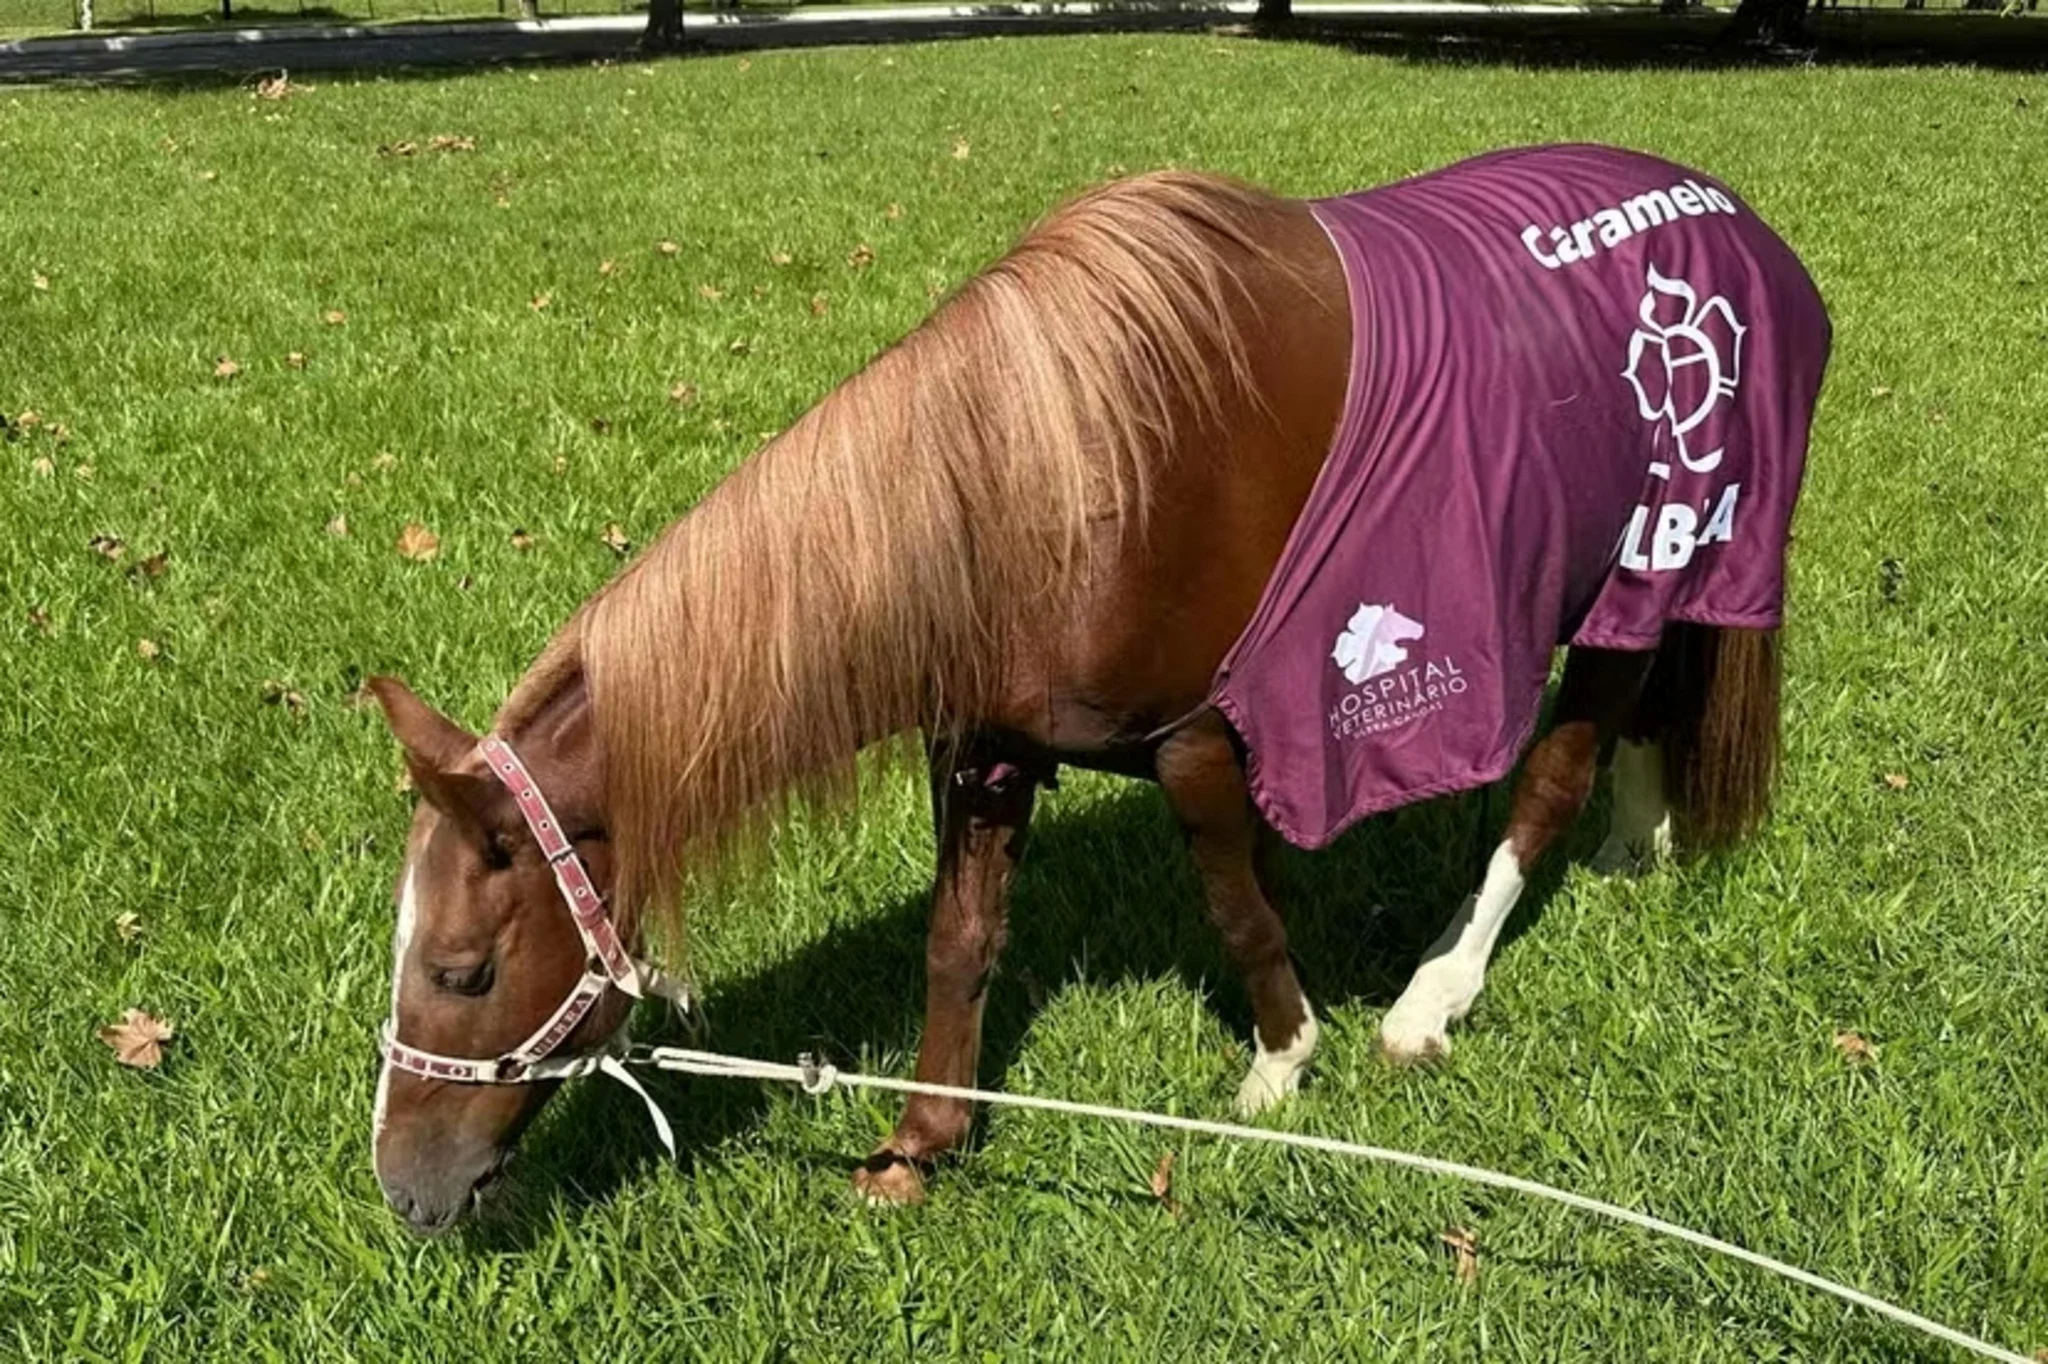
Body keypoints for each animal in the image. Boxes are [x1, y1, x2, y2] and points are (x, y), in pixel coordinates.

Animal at [367, 146, 1827, 1234]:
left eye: (461, 968)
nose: (403, 1187)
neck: (1049, 483)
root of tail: (1730, 220)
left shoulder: (1189, 740)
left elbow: (1233, 902)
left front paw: (1280, 1061)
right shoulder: (985, 743)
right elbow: (959, 941)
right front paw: (920, 1141)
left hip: (1645, 560)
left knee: (1555, 769)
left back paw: (1430, 1000)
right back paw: (1639, 844)